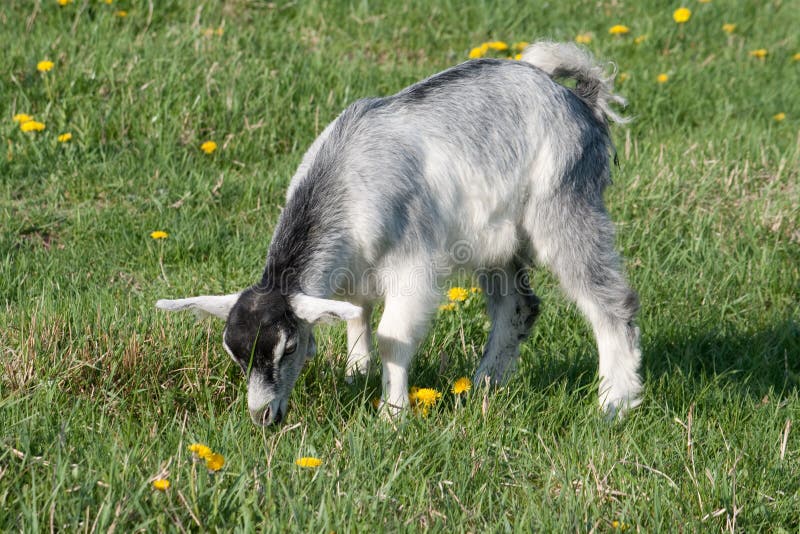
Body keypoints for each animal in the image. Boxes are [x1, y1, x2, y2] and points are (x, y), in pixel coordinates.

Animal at [157, 41, 641, 426]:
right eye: (234, 354)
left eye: (289, 347)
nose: (262, 417)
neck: (345, 178)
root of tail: (581, 101)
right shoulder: (355, 266)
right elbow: (357, 314)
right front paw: (356, 374)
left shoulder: (413, 265)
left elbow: (393, 336)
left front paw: (392, 415)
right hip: (496, 240)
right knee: (517, 307)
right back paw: (483, 387)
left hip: (565, 205)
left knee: (610, 301)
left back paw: (614, 403)